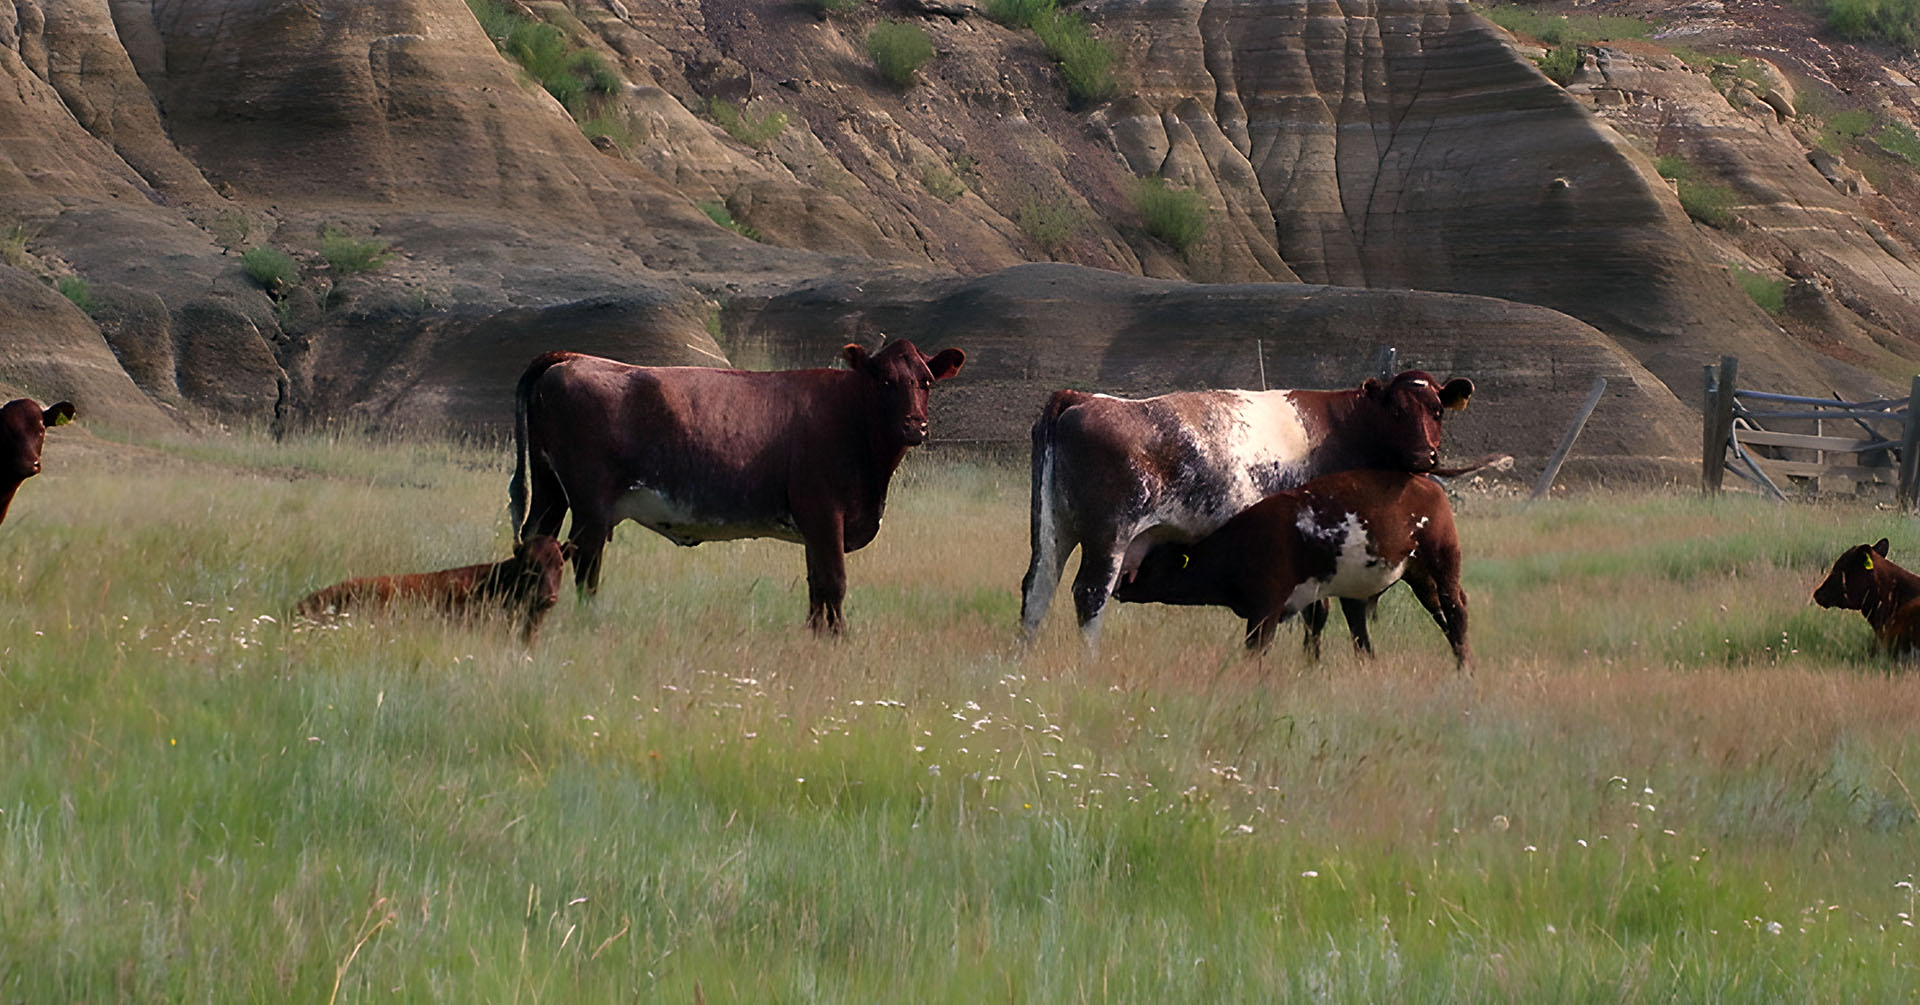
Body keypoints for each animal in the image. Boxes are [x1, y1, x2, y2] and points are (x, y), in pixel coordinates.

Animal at [509, 340, 966, 633]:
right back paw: (590, 619)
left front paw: (816, 636)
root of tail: (573, 359)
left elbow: (816, 585)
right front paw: (838, 640)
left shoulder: (815, 526)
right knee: (586, 560)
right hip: (590, 503)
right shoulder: (823, 511)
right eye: (885, 381)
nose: (915, 426)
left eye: (926, 381)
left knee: (537, 538)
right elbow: (834, 582)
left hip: (550, 489)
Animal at [1019, 371, 1475, 644]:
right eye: (1395, 410)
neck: (1347, 428)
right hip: (1108, 536)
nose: (1424, 456)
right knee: (1090, 595)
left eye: (1437, 411)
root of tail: (1084, 398)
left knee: (1036, 590)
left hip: (1053, 531)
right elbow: (1322, 611)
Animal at [1112, 468, 1471, 668]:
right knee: (1436, 614)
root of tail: (1427, 483)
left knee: (1455, 610)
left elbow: (1257, 650)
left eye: (1148, 563)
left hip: (1442, 561)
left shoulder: (1265, 608)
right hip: (1419, 576)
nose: (1117, 586)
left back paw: (1464, 668)